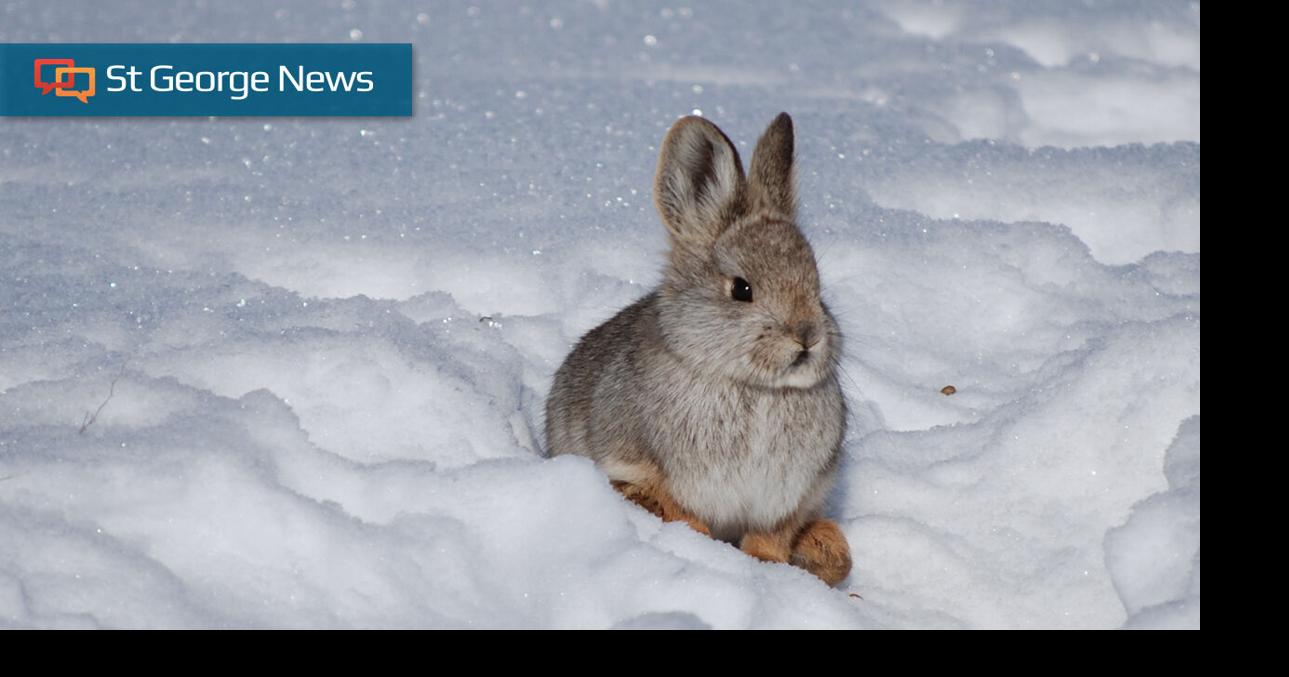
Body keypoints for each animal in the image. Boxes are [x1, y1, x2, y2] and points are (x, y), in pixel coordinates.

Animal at [545, 112, 851, 586]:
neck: (753, 386)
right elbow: (676, 510)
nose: (807, 337)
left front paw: (770, 566)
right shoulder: (641, 467)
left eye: (816, 288)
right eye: (742, 289)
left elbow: (770, 537)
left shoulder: (788, 496)